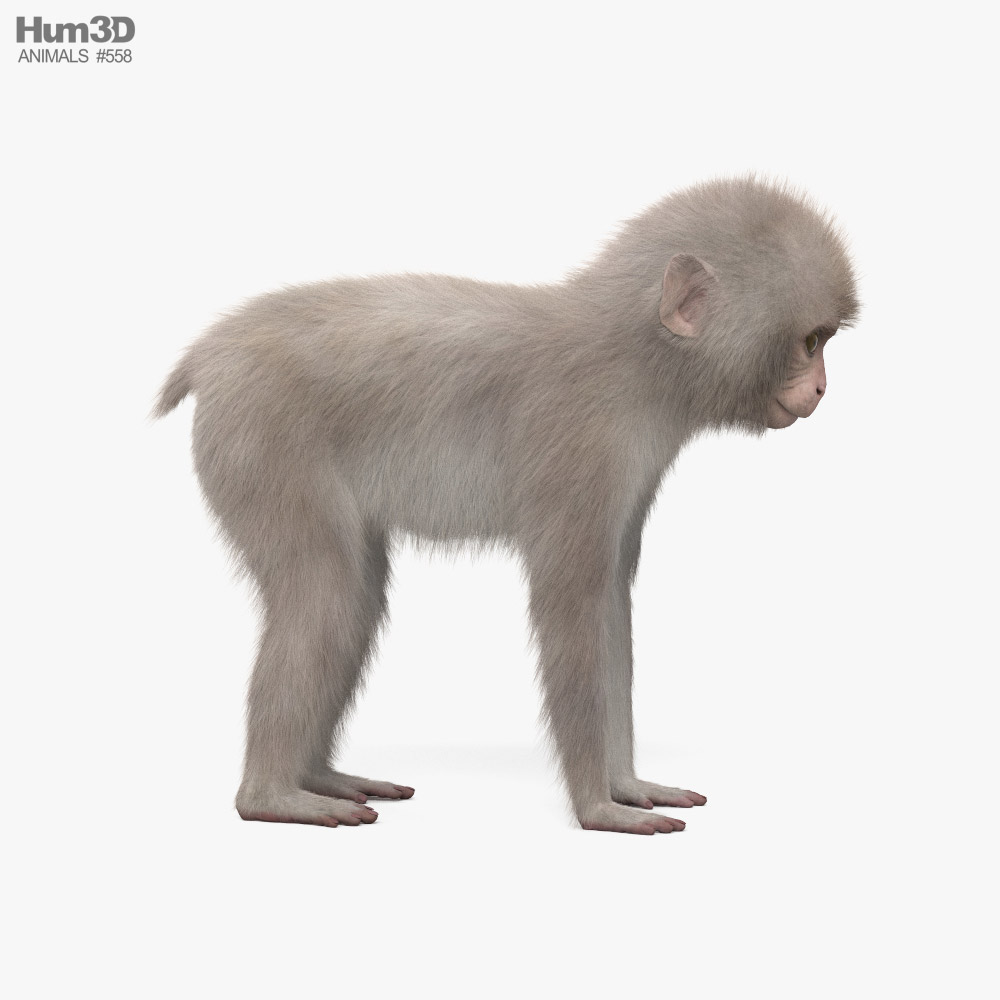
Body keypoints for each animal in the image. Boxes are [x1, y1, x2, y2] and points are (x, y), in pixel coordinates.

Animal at [155, 176, 859, 835]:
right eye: (810, 342)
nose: (823, 387)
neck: (636, 358)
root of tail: (213, 351)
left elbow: (609, 601)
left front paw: (628, 784)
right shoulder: (582, 445)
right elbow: (571, 605)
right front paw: (598, 806)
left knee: (353, 592)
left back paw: (319, 776)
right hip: (259, 433)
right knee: (326, 588)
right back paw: (273, 796)